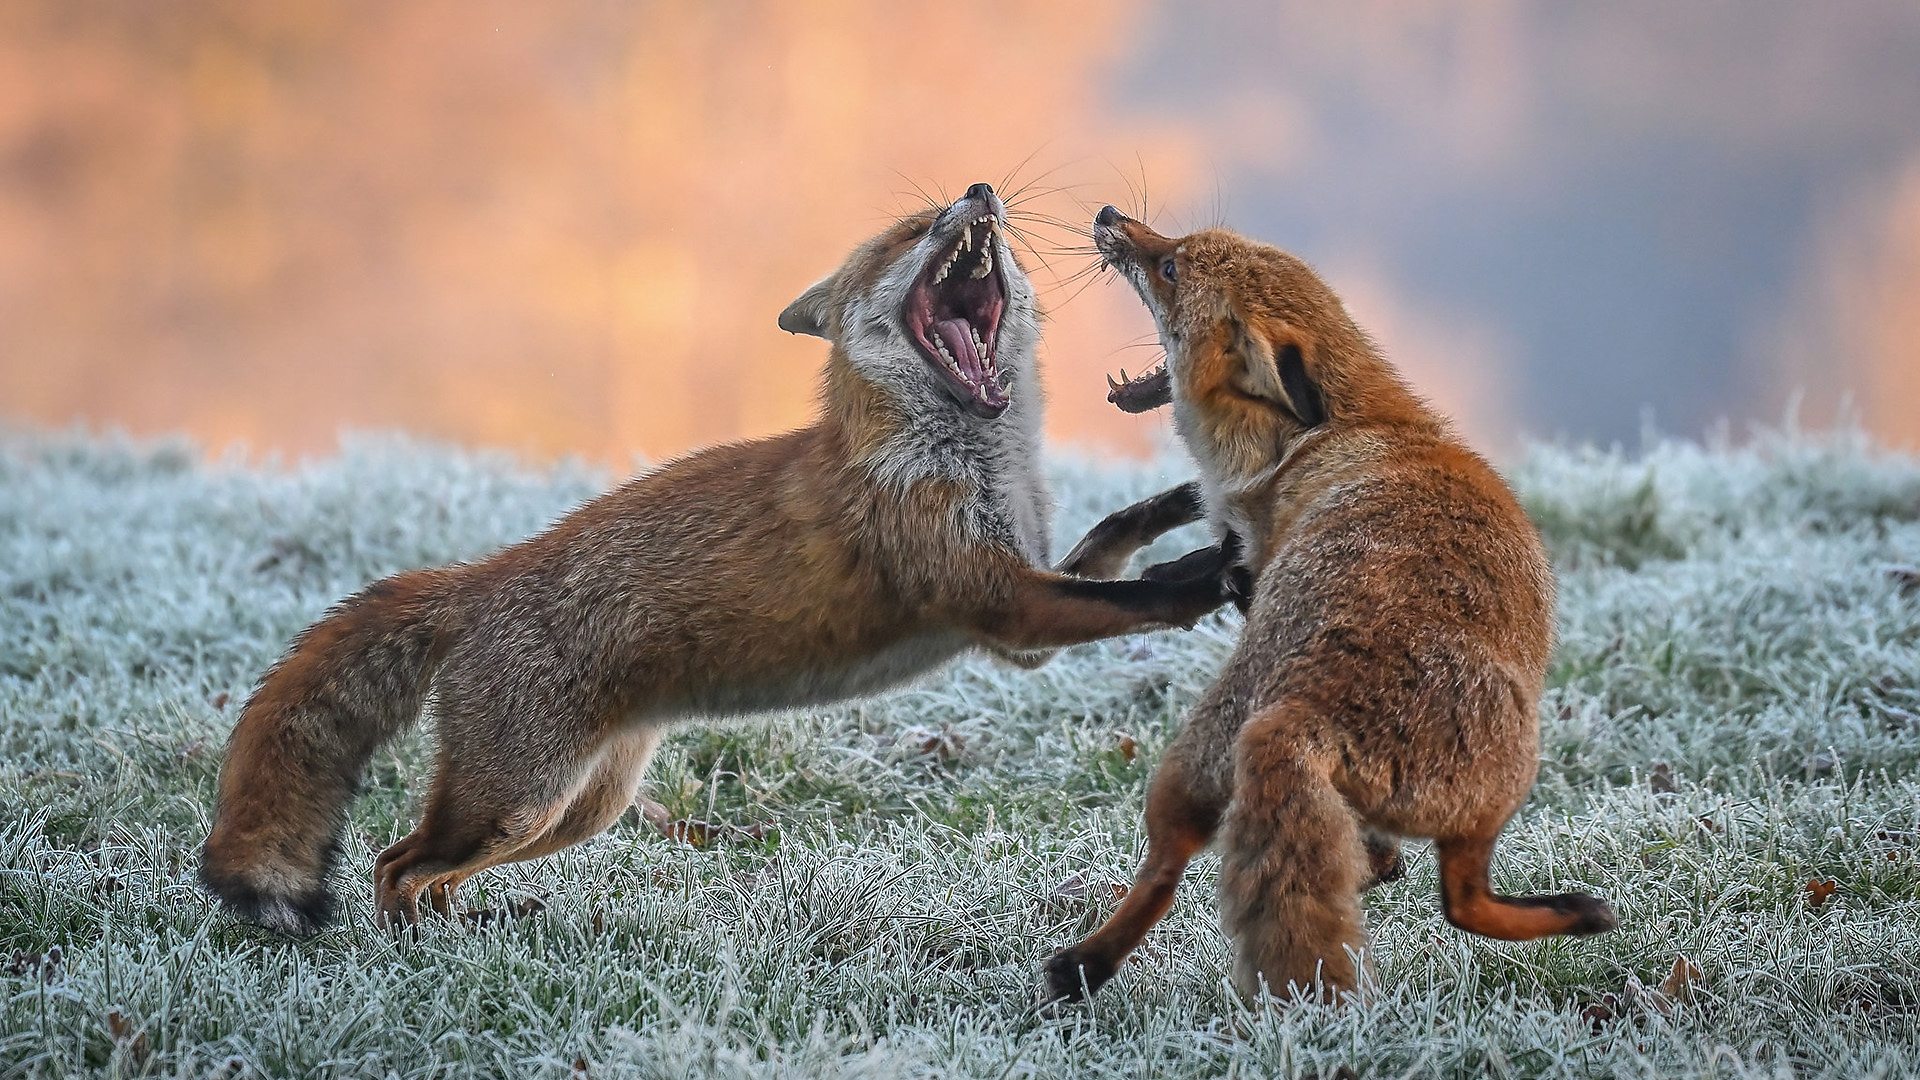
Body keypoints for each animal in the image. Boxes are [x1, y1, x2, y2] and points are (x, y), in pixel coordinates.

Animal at [199, 183, 1229, 936]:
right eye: (911, 230)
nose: (978, 192)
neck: (965, 456)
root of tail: (475, 577)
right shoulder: (998, 599)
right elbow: (1133, 599)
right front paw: (1210, 578)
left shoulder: (1021, 619)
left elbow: (1119, 541)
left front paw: (1196, 503)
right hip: (517, 800)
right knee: (392, 863)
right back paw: (410, 949)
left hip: (578, 808)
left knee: (428, 870)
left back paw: (464, 931)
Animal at [1043, 208, 1617, 1005]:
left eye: (1171, 267)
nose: (1108, 217)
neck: (1342, 429)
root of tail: (1301, 716)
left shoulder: (1248, 547)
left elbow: (1198, 549)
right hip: (1492, 786)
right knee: (1453, 896)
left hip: (1201, 767)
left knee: (1183, 868)